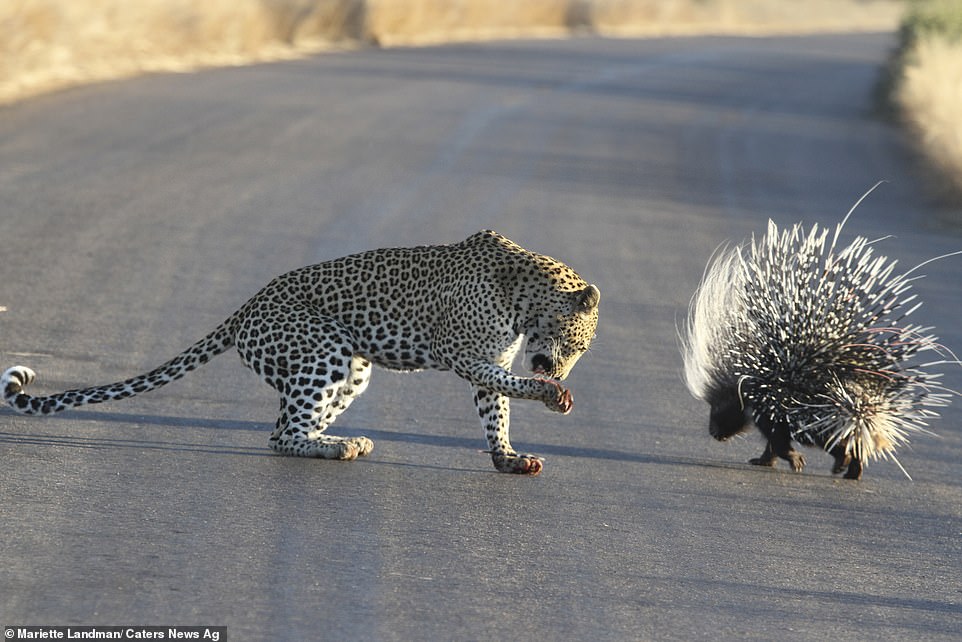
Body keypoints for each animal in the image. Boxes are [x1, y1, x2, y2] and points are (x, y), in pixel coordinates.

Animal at [3, 232, 596, 472]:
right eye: (576, 346)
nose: (564, 368)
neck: (525, 297)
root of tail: (247, 304)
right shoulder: (462, 353)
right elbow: (509, 385)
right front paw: (551, 392)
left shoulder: (486, 360)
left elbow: (496, 411)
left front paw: (508, 458)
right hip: (325, 352)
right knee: (280, 434)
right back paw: (339, 447)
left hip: (351, 368)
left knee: (286, 429)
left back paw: (335, 442)